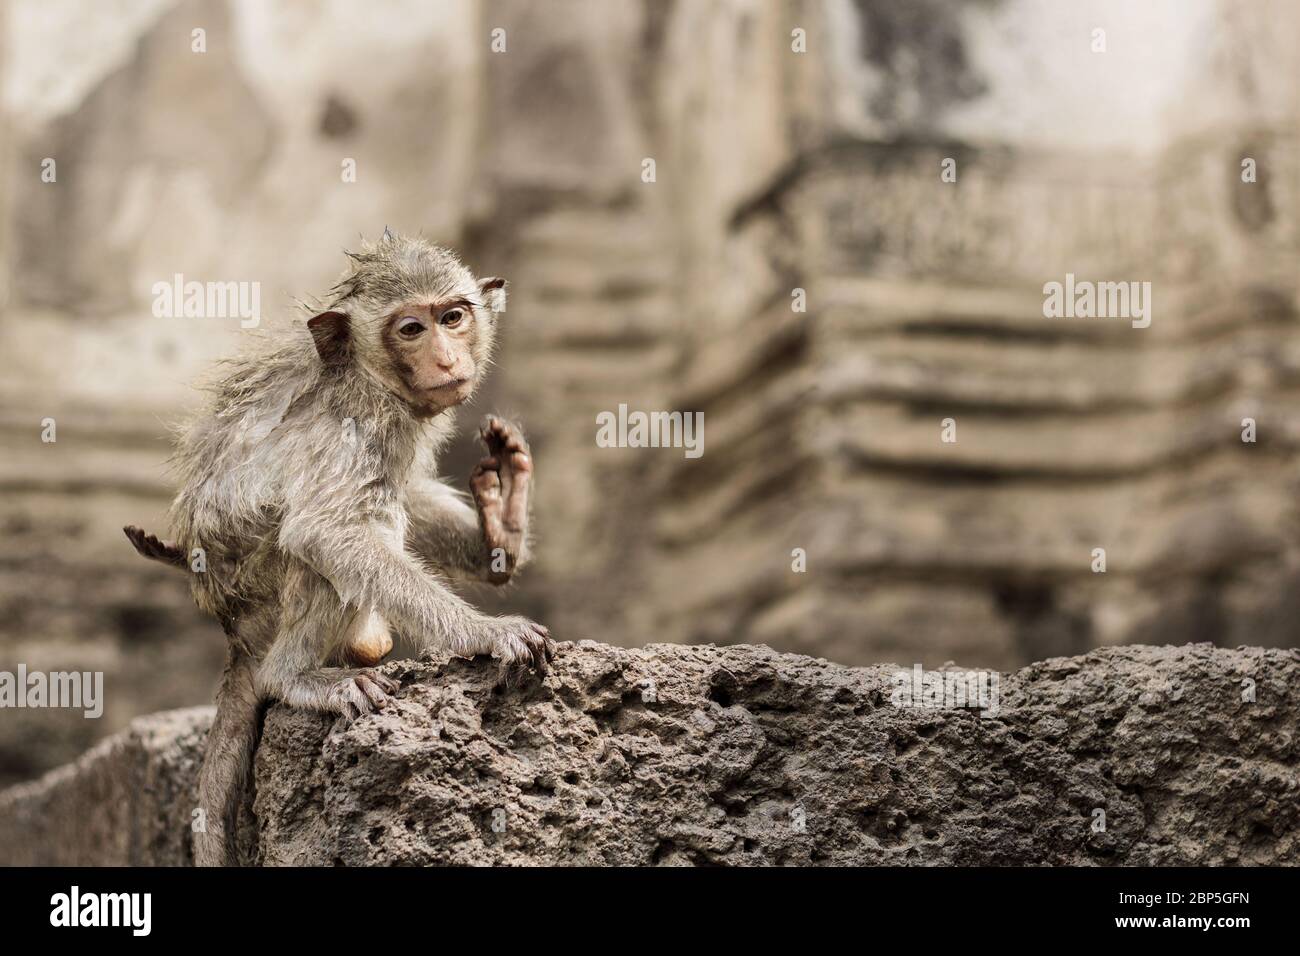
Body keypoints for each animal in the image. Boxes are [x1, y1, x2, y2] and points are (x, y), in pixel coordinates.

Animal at [123, 231, 553, 866]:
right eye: (411, 329)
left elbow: (407, 490)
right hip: (261, 596)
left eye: (452, 317)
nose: (447, 358)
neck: (367, 378)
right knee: (320, 550)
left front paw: (497, 535)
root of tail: (234, 634)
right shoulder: (356, 424)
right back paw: (293, 677)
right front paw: (489, 632)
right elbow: (324, 531)